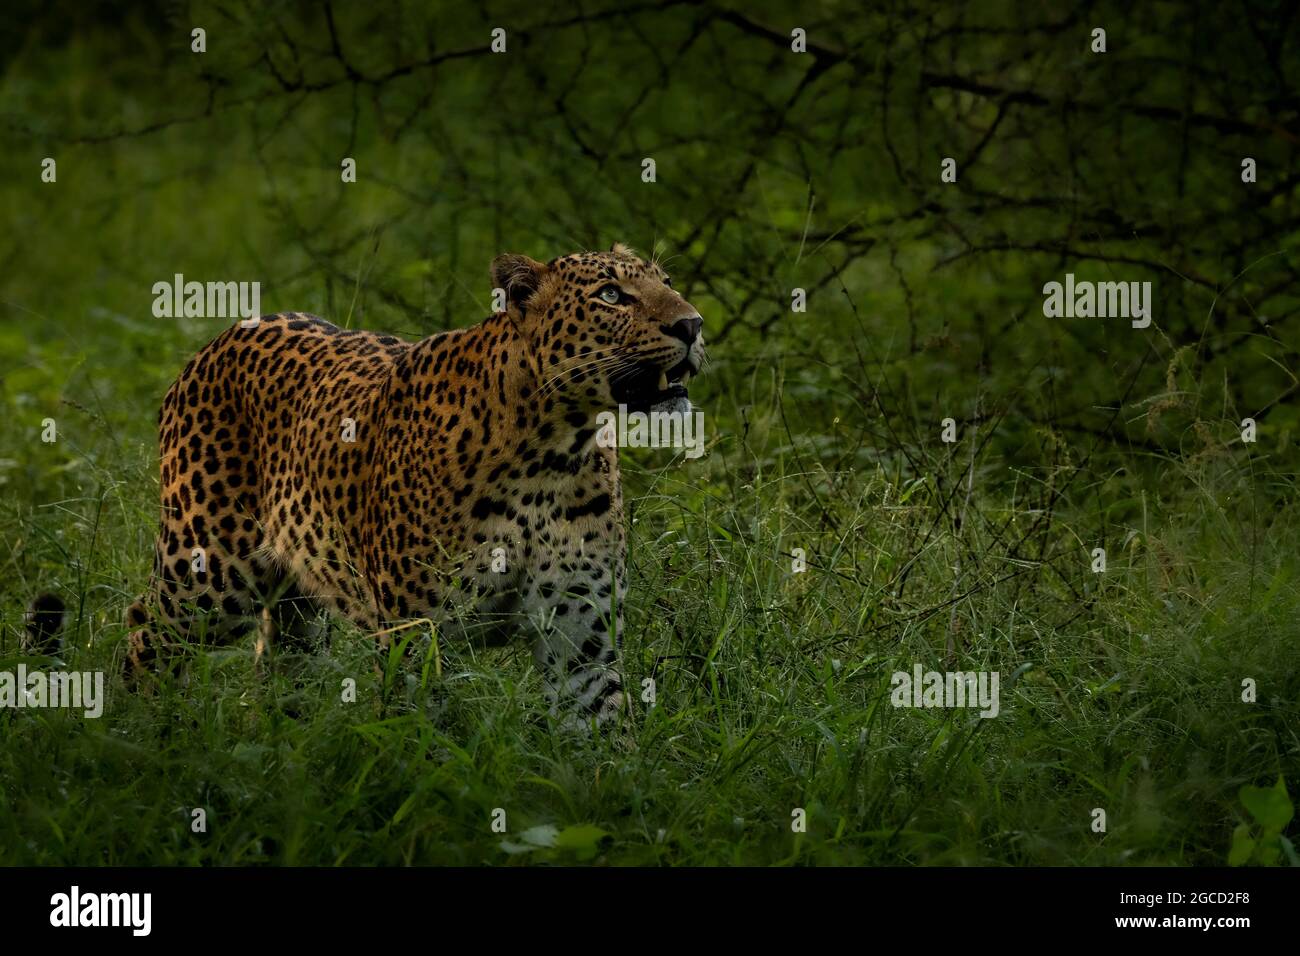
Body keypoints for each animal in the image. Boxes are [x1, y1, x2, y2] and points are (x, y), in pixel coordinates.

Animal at [122, 243, 706, 727]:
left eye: (668, 281)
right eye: (611, 295)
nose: (694, 325)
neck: (554, 453)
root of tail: (227, 333)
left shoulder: (581, 649)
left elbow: (601, 745)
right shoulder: (415, 635)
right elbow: (424, 743)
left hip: (297, 604)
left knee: (285, 669)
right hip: (208, 574)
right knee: (145, 630)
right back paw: (142, 737)